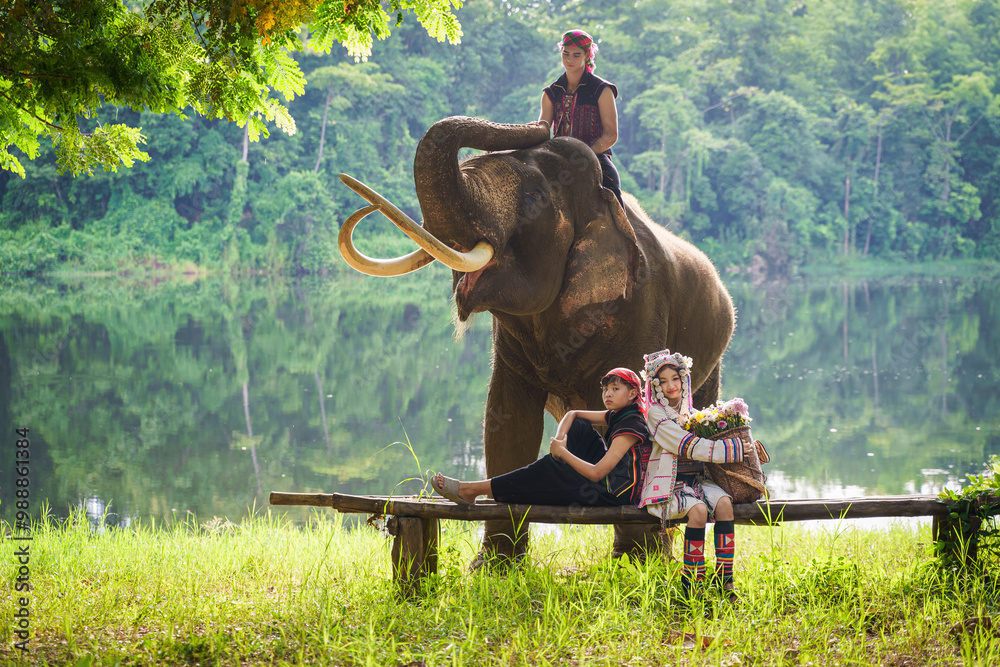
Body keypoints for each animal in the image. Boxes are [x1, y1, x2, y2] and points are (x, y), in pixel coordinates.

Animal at [339, 116, 735, 565]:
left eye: (533, 197)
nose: (541, 124)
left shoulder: (643, 307)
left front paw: (637, 561)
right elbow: (506, 421)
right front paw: (493, 565)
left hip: (711, 358)